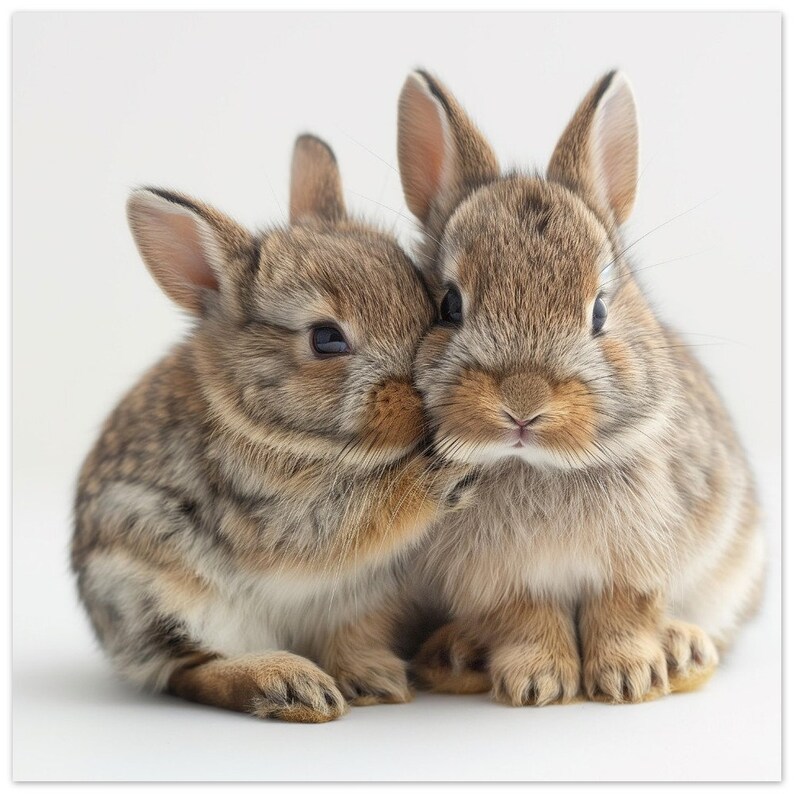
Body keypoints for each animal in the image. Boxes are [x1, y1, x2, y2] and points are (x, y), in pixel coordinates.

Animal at [71, 134, 474, 723]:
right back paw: (290, 686)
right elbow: (354, 522)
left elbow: (355, 633)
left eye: (427, 299)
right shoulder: (266, 513)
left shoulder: (368, 599)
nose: (425, 402)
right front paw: (444, 472)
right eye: (326, 339)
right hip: (148, 587)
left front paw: (374, 678)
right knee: (187, 671)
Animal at [394, 69, 765, 706]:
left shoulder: (637, 565)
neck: (536, 465)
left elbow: (624, 614)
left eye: (598, 311)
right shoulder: (502, 581)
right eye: (449, 306)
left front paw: (631, 678)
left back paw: (684, 650)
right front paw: (539, 683)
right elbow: (525, 619)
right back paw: (456, 656)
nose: (523, 404)